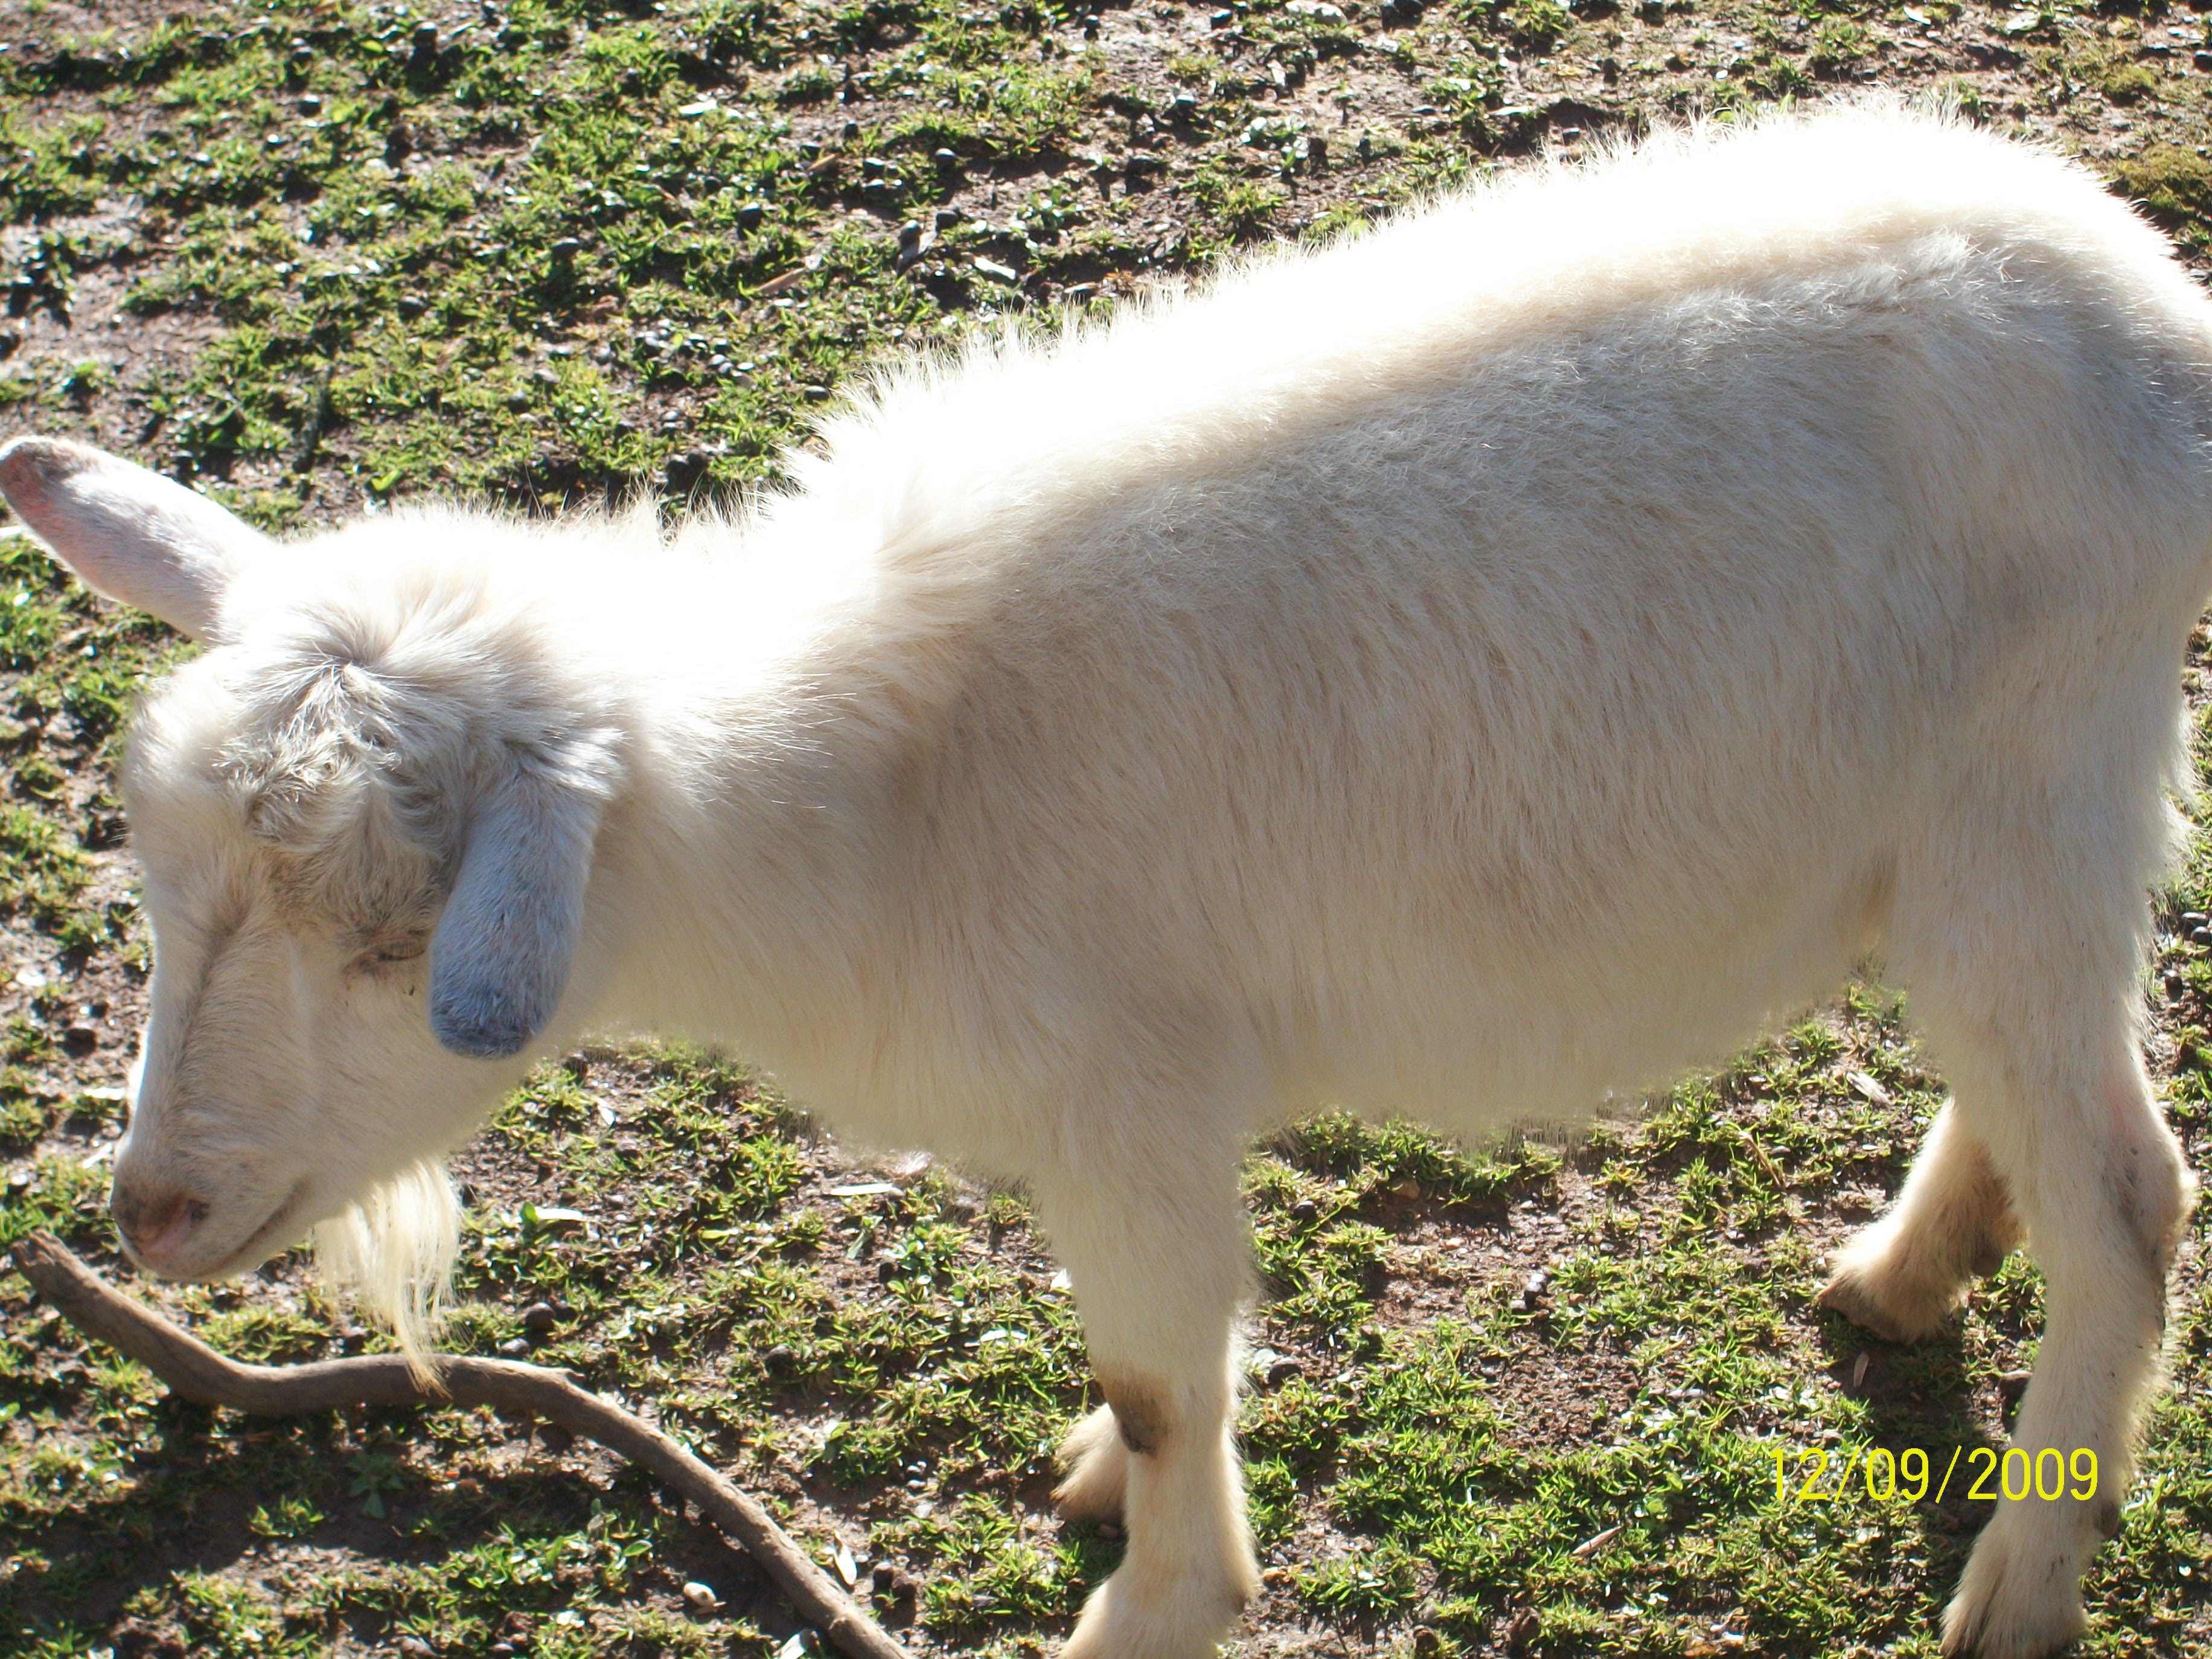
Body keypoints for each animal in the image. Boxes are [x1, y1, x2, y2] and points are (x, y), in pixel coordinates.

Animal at [1, 100, 2205, 1659]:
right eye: (163, 895)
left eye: (395, 943)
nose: (151, 1209)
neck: (872, 792)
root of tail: (2161, 330)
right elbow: (1161, 1385)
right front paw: (1114, 1495)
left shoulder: (1126, 1096)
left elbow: (1158, 1375)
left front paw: (1149, 1594)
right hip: (1985, 840)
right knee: (2029, 1105)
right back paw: (1902, 1272)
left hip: (2036, 787)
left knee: (2126, 1183)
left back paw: (2022, 1576)